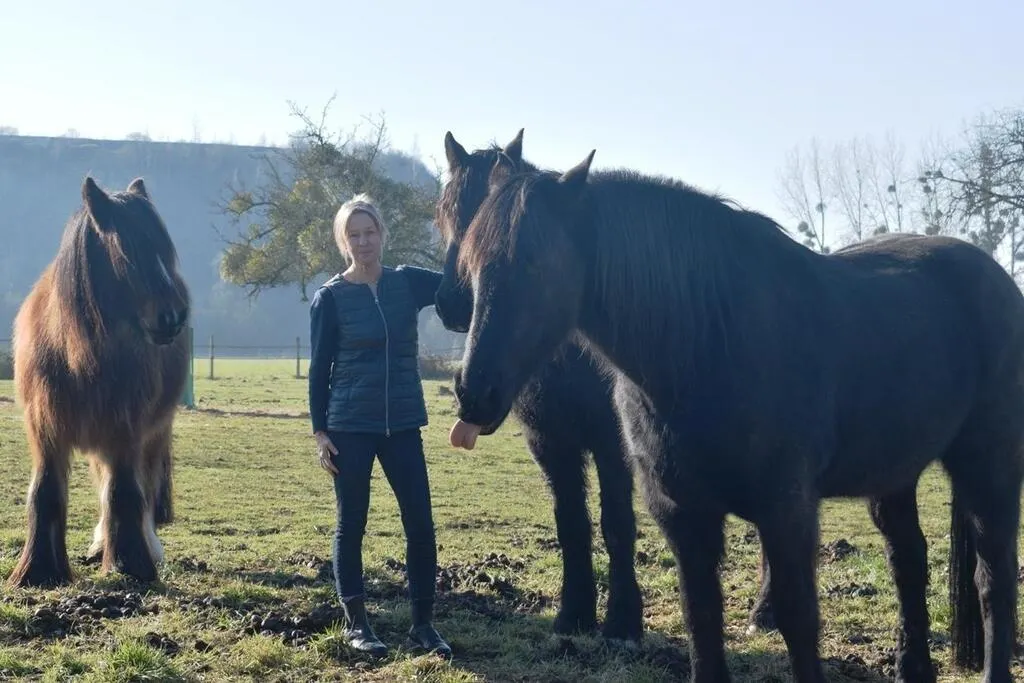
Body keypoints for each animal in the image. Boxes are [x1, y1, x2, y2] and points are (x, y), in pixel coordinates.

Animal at [7, 176, 190, 588]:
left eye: (163, 249)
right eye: (126, 249)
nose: (173, 317)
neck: (78, 357)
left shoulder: (124, 430)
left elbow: (124, 493)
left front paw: (132, 564)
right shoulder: (45, 429)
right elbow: (45, 492)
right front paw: (38, 570)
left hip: (154, 430)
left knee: (141, 486)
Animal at [433, 130, 646, 643]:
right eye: (446, 212)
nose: (452, 303)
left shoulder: (612, 443)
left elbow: (617, 523)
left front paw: (623, 621)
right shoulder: (549, 442)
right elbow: (571, 523)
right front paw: (574, 613)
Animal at [446, 151, 1024, 683]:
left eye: (535, 264)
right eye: (473, 264)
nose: (474, 393)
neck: (708, 342)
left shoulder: (786, 509)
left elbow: (798, 619)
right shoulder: (682, 513)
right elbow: (701, 618)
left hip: (988, 467)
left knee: (993, 578)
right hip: (893, 476)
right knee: (909, 563)